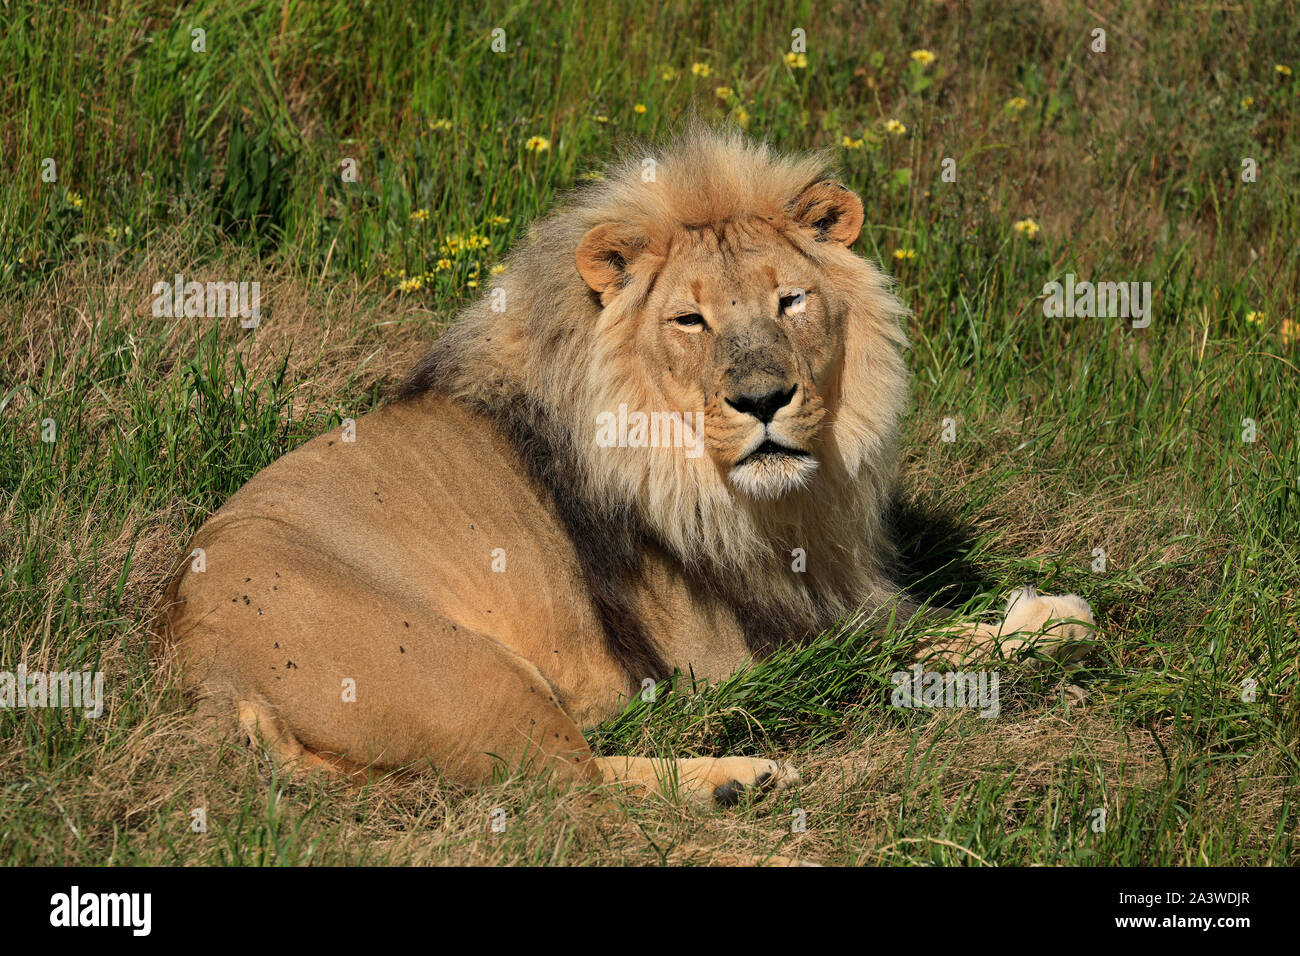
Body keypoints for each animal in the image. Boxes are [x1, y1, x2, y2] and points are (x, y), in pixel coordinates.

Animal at [157, 129, 1095, 804]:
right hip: (467, 673)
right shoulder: (733, 654)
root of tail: (196, 671)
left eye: (790, 301)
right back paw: (736, 780)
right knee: (565, 788)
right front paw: (1057, 617)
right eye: (690, 320)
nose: (763, 399)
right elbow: (898, 653)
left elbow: (920, 624)